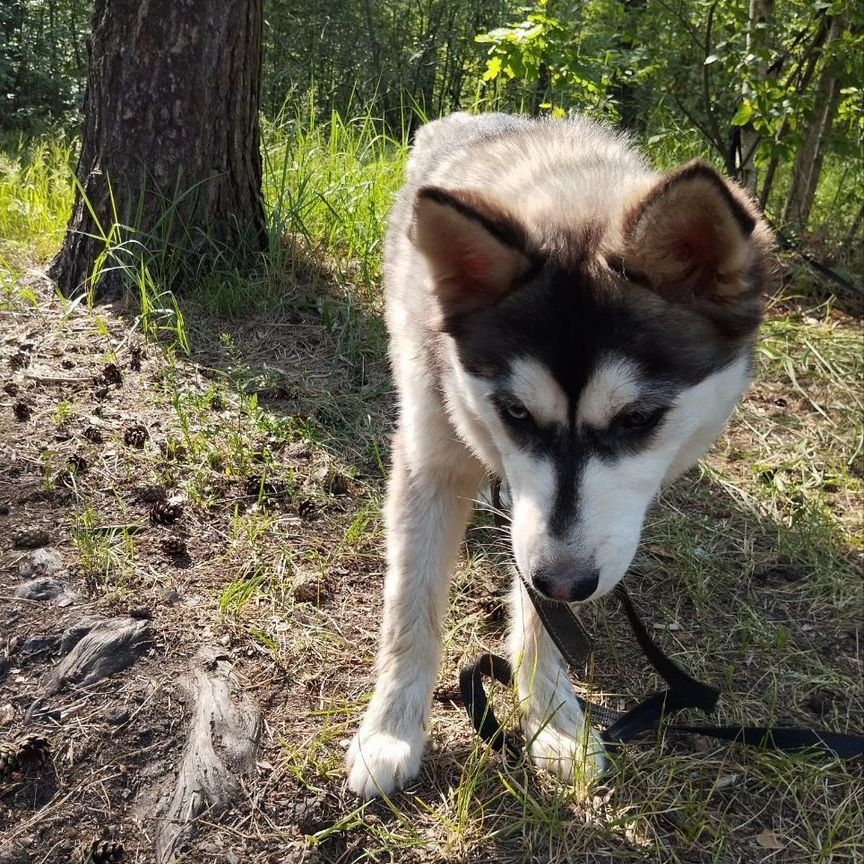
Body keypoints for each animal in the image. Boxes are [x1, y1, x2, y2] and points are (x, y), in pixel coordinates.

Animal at [344, 113, 776, 796]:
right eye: (515, 412)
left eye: (638, 418)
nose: (568, 580)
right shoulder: (430, 461)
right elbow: (410, 605)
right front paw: (391, 731)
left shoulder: (558, 539)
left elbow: (544, 610)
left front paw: (553, 721)